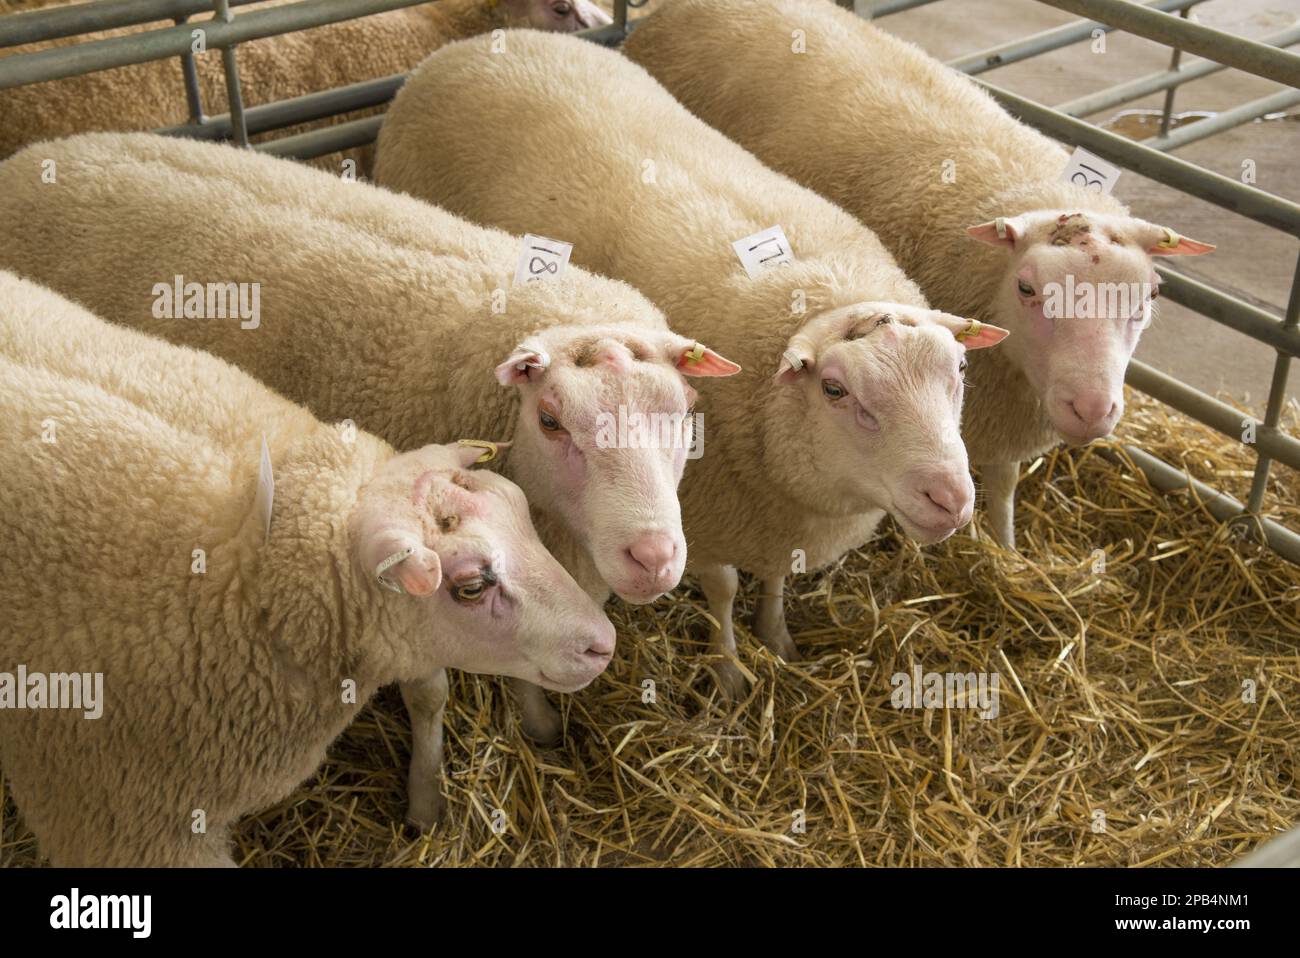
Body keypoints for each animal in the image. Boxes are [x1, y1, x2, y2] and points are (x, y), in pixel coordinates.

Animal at [373, 30, 1009, 697]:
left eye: (960, 372)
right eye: (836, 390)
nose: (951, 499)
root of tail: (477, 42)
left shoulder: (772, 521)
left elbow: (775, 576)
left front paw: (776, 637)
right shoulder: (704, 512)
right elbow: (724, 588)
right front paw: (729, 671)